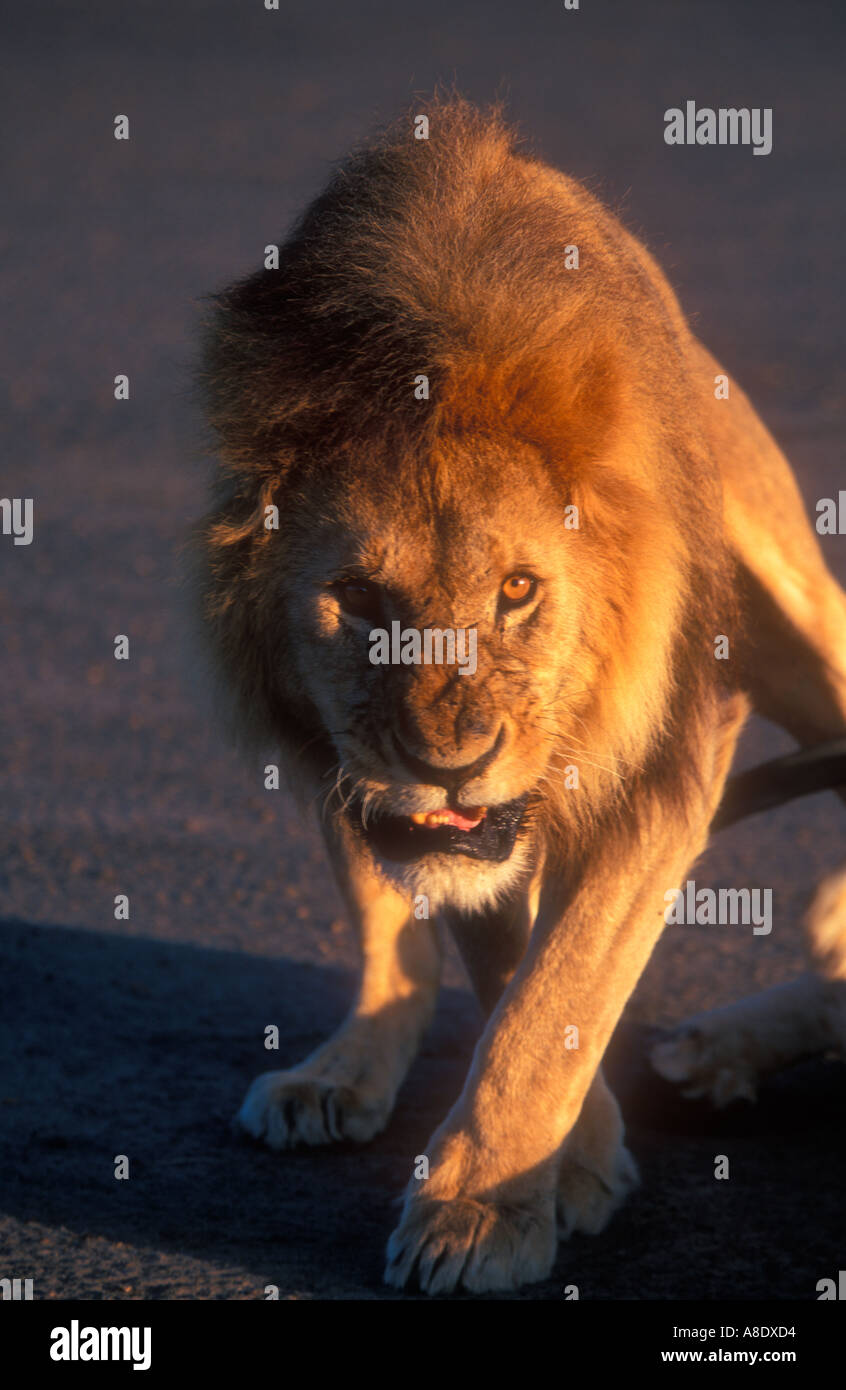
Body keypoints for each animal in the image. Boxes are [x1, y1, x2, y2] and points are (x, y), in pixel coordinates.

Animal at [195, 98, 846, 1293]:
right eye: (359, 597)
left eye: (518, 590)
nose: (448, 764)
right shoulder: (446, 828)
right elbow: (516, 981)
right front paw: (573, 1162)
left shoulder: (675, 750)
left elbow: (558, 994)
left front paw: (478, 1213)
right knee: (393, 952)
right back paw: (340, 1074)